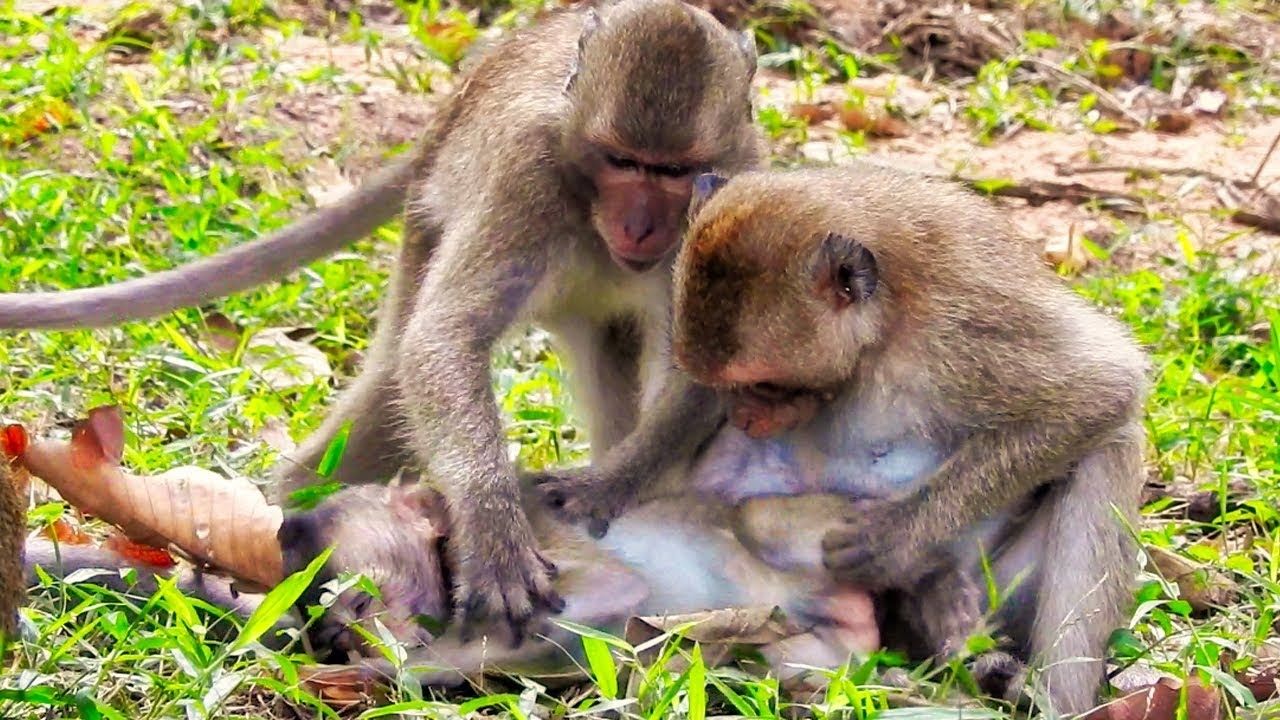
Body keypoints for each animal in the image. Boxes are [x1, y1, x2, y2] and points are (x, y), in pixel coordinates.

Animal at [0, 0, 764, 644]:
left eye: (675, 171)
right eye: (622, 161)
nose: (641, 226)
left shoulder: (732, 190)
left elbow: (698, 370)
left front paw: (604, 486)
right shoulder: (527, 177)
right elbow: (441, 341)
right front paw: (493, 533)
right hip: (427, 224)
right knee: (392, 383)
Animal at [640, 162, 1149, 716]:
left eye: (766, 386)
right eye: (723, 386)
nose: (742, 417)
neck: (883, 324)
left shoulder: (966, 327)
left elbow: (1101, 388)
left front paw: (894, 539)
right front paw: (608, 489)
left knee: (1108, 447)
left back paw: (1049, 695)